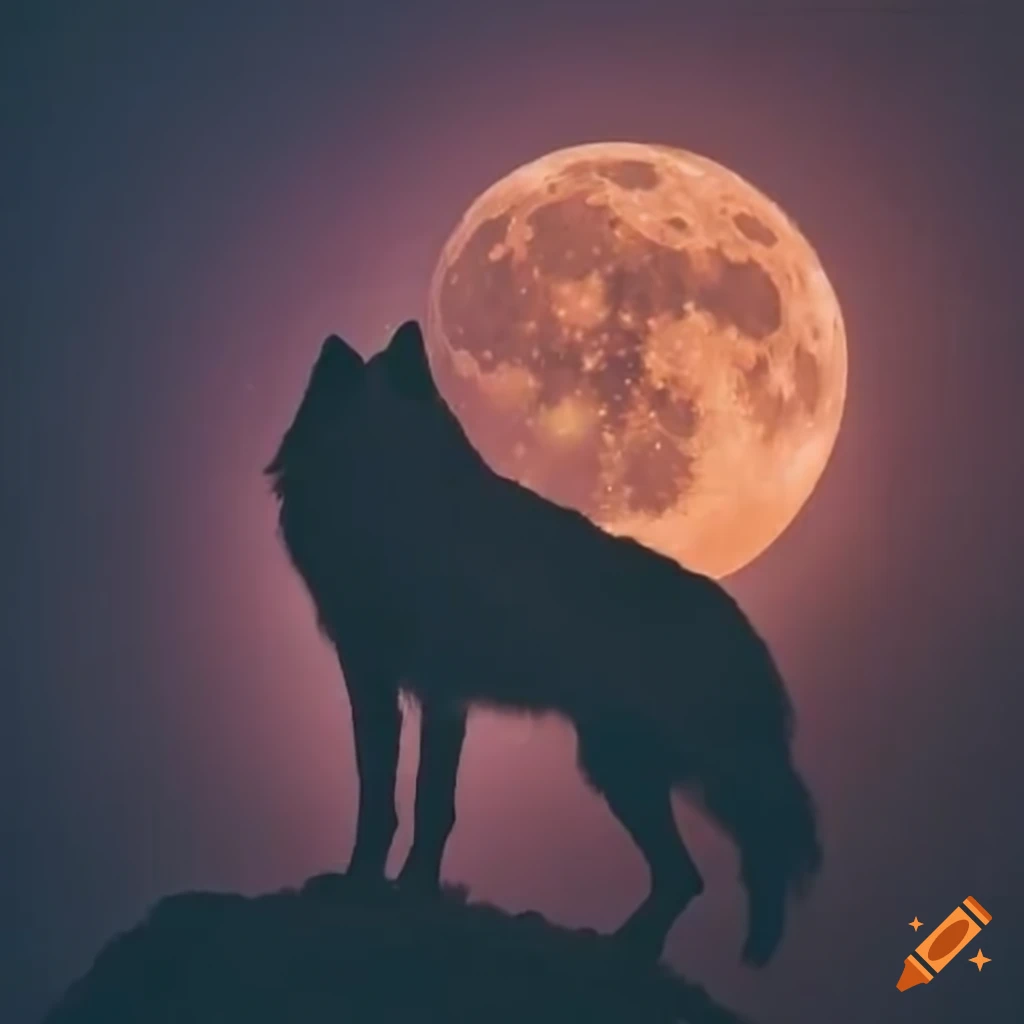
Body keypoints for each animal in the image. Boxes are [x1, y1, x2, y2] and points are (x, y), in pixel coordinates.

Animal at [265, 320, 822, 966]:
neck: (390, 494)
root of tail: (746, 634)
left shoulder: (442, 692)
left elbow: (432, 801)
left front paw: (415, 893)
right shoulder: (371, 679)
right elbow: (377, 797)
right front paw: (360, 884)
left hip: (655, 769)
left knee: (725, 861)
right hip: (620, 764)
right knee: (685, 875)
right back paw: (624, 945)